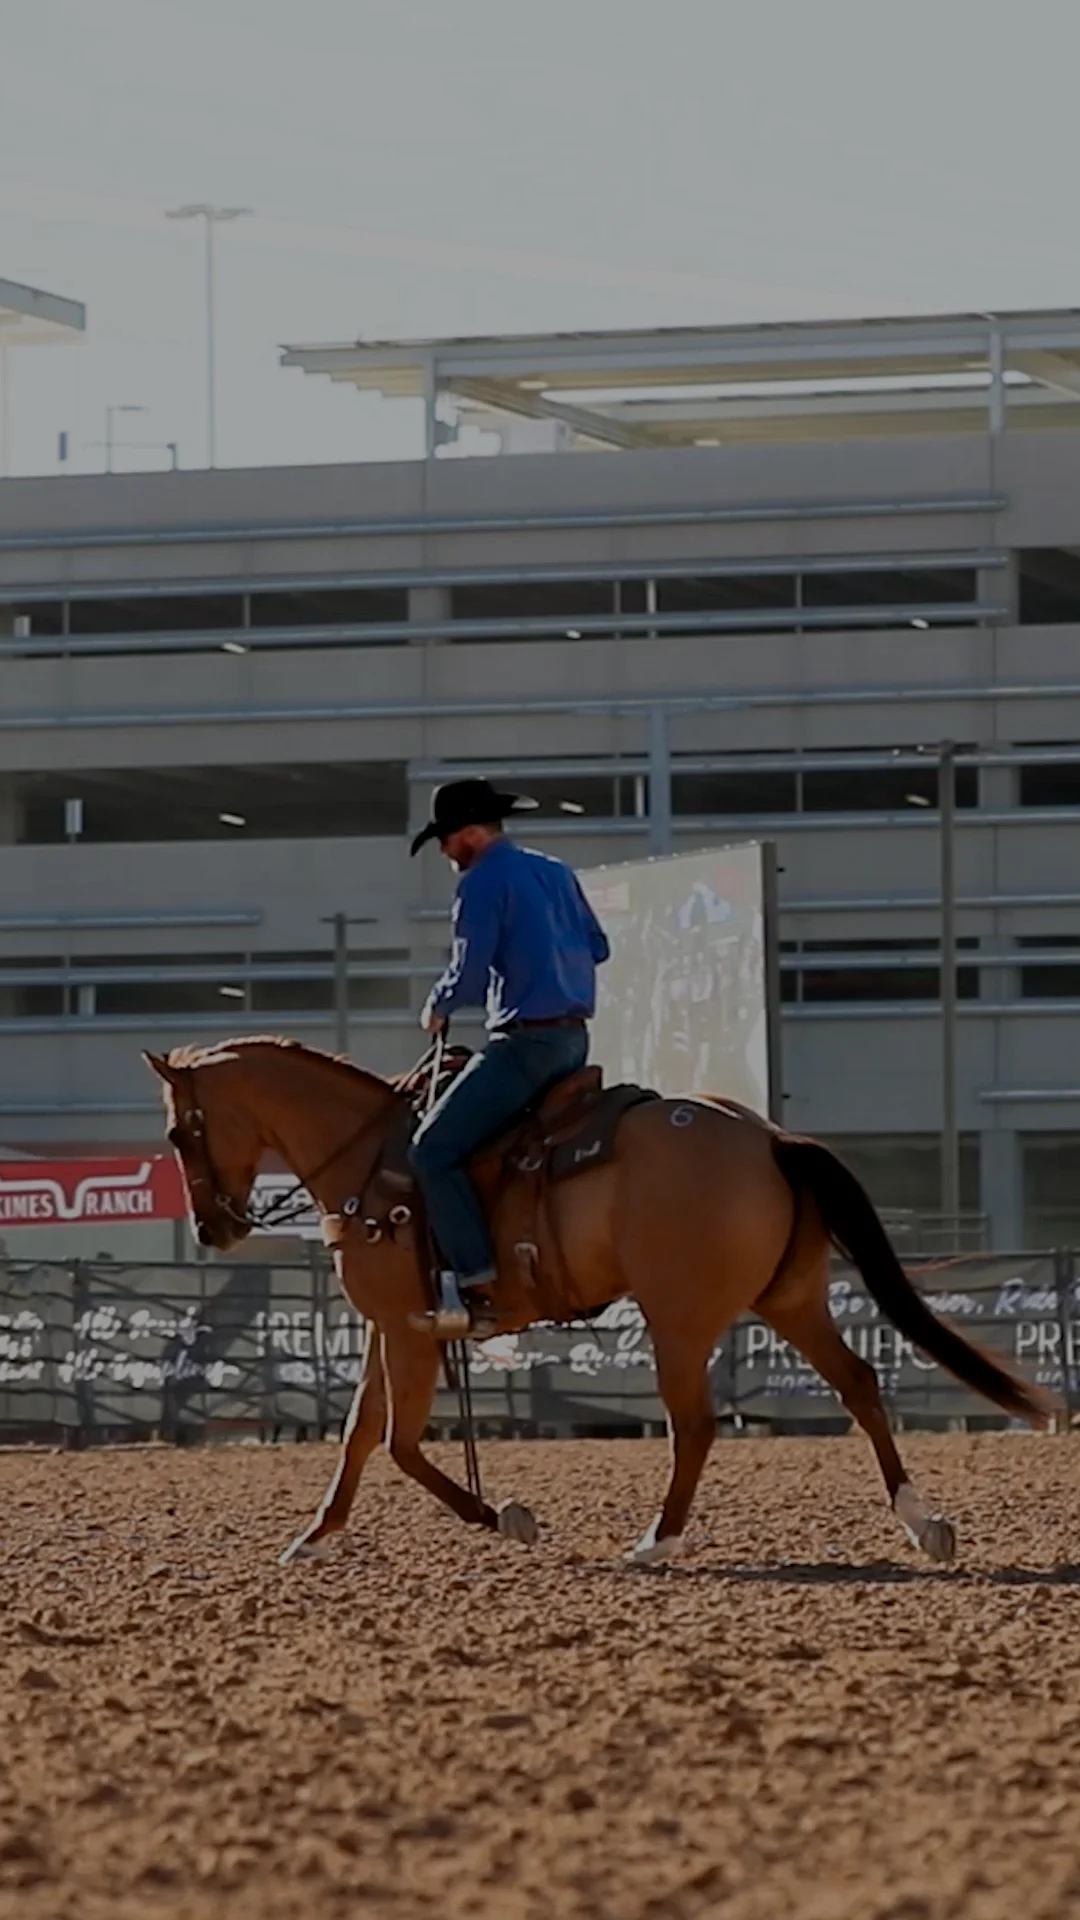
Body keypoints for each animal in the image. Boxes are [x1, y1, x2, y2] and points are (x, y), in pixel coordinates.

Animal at [144, 1037, 1049, 1568]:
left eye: (180, 1133)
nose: (214, 1227)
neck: (372, 1161)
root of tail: (765, 1137)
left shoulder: (405, 1328)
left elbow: (398, 1443)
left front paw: (503, 1515)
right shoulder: (387, 1327)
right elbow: (361, 1433)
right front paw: (316, 1534)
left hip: (678, 1318)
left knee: (696, 1424)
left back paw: (657, 1541)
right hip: (789, 1300)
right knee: (859, 1383)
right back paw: (924, 1524)